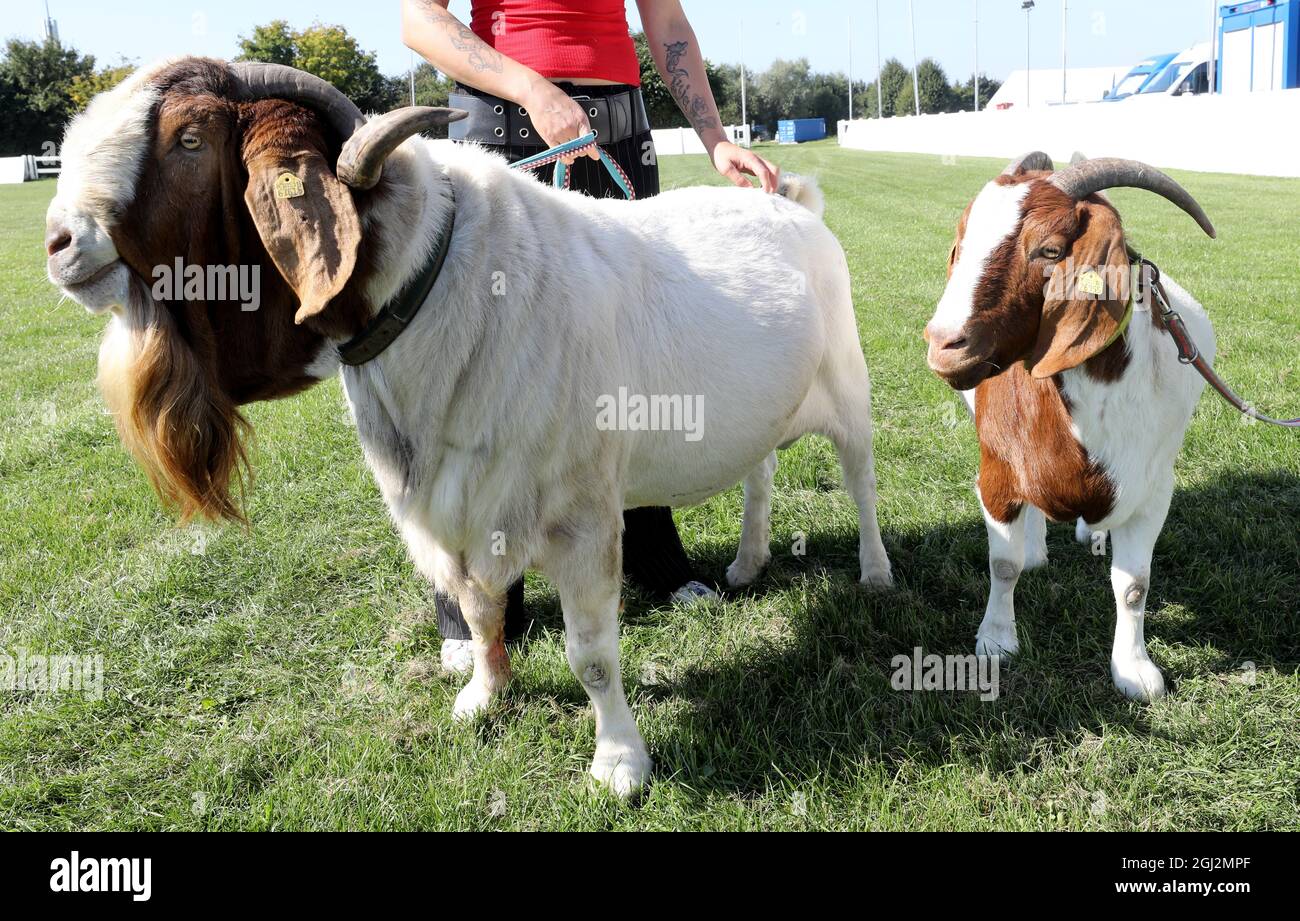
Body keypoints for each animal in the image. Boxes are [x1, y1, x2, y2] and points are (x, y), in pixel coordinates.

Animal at [45, 58, 893, 797]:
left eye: (188, 139)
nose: (59, 243)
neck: (443, 285)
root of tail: (795, 202)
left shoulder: (582, 517)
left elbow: (591, 654)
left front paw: (620, 763)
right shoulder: (455, 510)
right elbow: (483, 610)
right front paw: (483, 695)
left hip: (848, 388)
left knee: (860, 479)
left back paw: (876, 572)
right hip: (764, 410)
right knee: (760, 471)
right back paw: (747, 563)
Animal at [924, 152, 1217, 702]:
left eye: (1050, 249)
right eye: (960, 244)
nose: (944, 344)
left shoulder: (1153, 489)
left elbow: (1134, 584)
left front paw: (1134, 670)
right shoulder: (996, 475)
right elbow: (1003, 565)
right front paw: (996, 640)